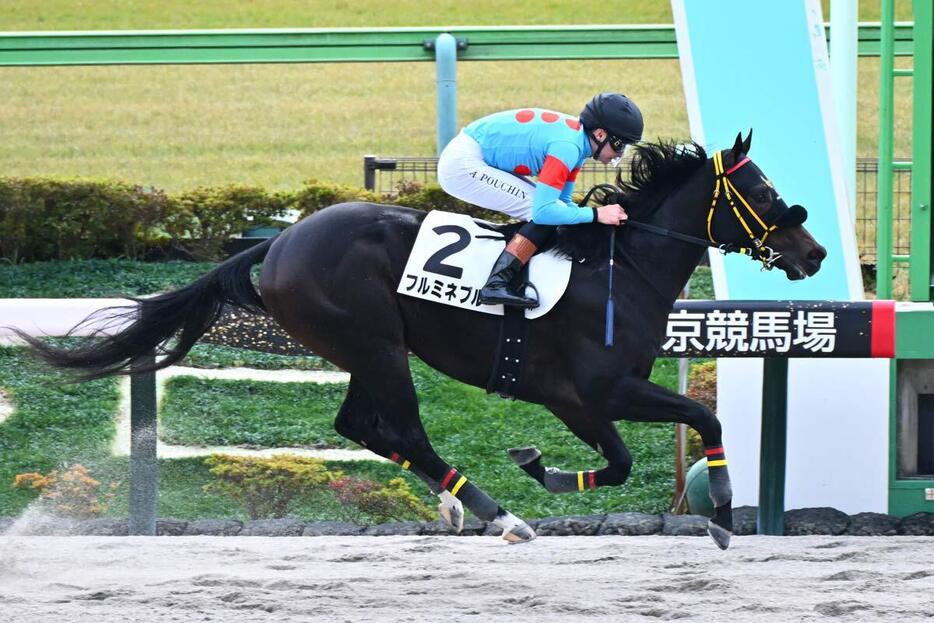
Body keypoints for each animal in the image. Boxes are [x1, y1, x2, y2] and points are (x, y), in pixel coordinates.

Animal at [19, 131, 826, 549]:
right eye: (759, 192)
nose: (814, 253)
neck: (619, 270)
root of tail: (277, 242)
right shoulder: (588, 394)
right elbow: (664, 438)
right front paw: (714, 511)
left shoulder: (597, 396)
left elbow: (680, 432)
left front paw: (716, 510)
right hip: (375, 342)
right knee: (401, 427)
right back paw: (501, 513)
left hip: (361, 348)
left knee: (361, 424)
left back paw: (472, 504)